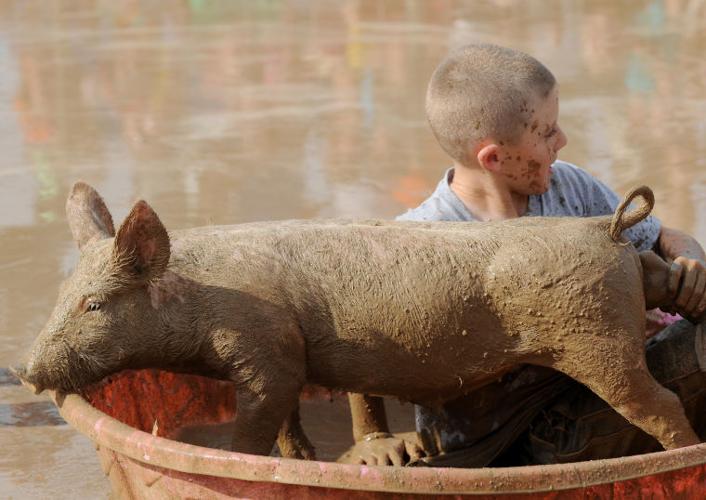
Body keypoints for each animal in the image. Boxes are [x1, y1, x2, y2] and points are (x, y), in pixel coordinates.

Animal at [16, 181, 700, 459]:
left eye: (95, 304)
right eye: (62, 292)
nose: (24, 369)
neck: (199, 299)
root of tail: (606, 230)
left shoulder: (262, 349)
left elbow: (254, 429)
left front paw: (247, 463)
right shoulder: (284, 356)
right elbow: (288, 425)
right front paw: (303, 461)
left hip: (595, 336)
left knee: (659, 402)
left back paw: (684, 458)